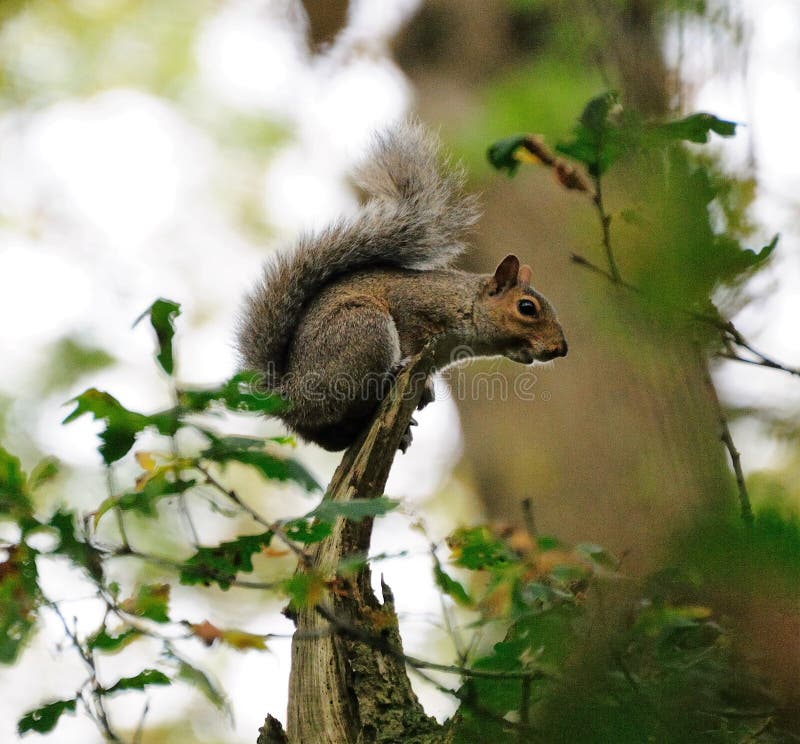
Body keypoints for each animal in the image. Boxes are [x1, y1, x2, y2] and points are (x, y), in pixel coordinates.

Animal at [237, 121, 567, 452]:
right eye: (526, 308)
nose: (561, 349)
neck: (464, 303)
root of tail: (290, 398)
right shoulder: (413, 305)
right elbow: (408, 334)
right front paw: (416, 376)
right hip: (363, 329)